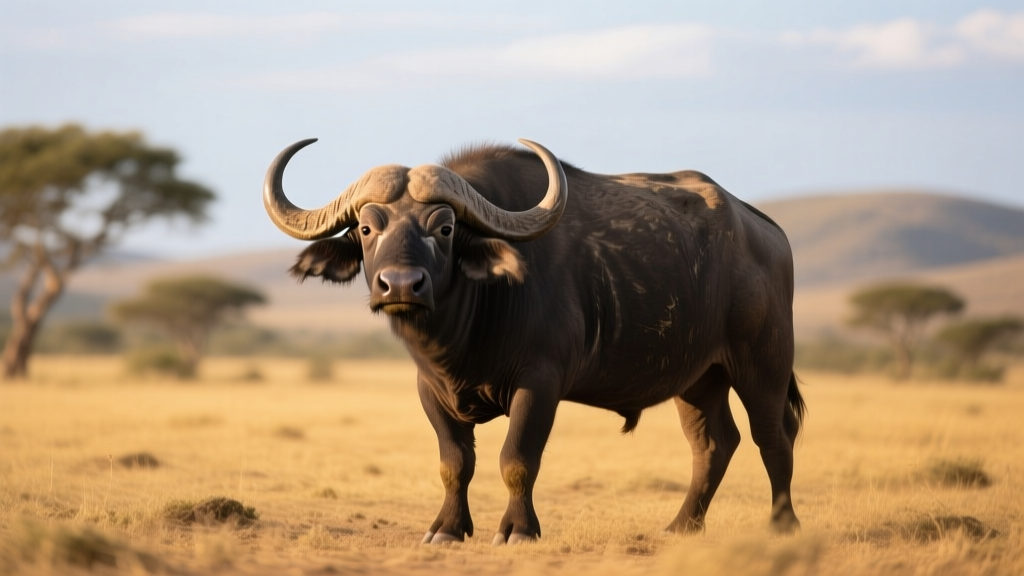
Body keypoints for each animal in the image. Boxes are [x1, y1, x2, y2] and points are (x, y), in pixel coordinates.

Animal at [263, 138, 805, 545]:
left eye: (445, 227)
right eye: (366, 227)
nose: (399, 285)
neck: (467, 333)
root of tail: (766, 230)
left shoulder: (540, 384)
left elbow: (517, 459)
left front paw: (518, 530)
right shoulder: (429, 391)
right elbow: (454, 463)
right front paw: (448, 529)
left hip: (764, 365)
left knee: (773, 438)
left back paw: (782, 525)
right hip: (698, 379)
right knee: (714, 444)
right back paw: (681, 527)